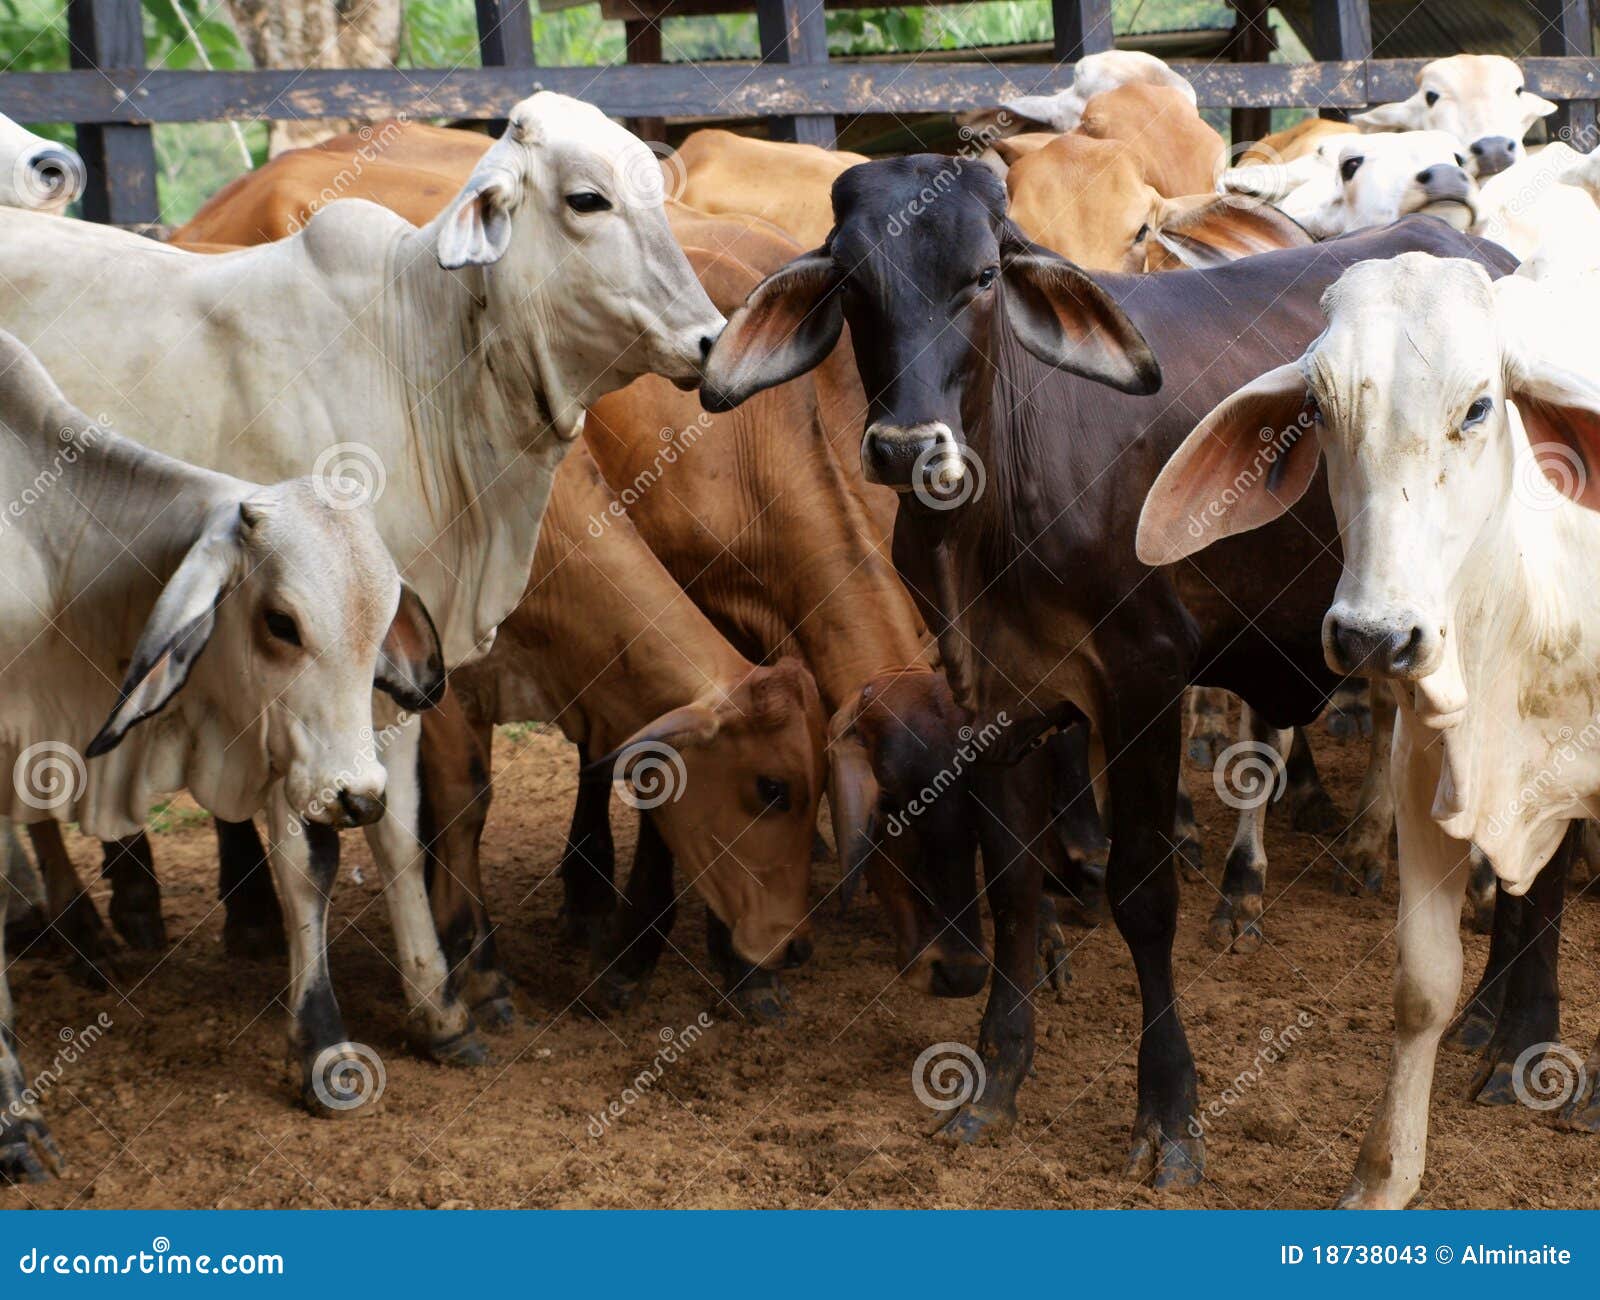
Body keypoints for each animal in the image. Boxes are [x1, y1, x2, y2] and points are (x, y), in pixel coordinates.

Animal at [0, 330, 444, 1173]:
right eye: (281, 623)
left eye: (382, 626)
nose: (363, 796)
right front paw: (13, 1121)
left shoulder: (289, 756)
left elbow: (310, 870)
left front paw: (323, 1052)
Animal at [699, 151, 1517, 1183]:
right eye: (851, 284)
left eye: (982, 276)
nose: (905, 446)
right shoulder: (994, 702)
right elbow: (1012, 887)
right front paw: (998, 1077)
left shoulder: (1146, 682)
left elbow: (1143, 891)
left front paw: (1168, 1109)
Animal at [1137, 252, 1600, 1206]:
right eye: (1316, 409)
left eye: (1479, 407)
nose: (1375, 637)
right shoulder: (1428, 778)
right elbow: (1421, 985)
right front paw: (1385, 1176)